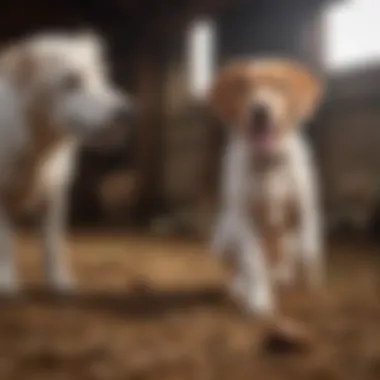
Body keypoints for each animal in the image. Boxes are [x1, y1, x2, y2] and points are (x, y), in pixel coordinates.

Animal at [0, 32, 134, 294]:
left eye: (102, 77)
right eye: (71, 81)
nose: (128, 114)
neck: (39, 148)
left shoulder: (54, 197)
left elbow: (53, 246)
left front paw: (59, 282)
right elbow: (5, 245)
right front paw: (6, 281)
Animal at [208, 58, 324, 314]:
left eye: (279, 86)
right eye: (243, 87)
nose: (260, 110)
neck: (269, 162)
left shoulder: (305, 213)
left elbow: (307, 252)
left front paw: (310, 289)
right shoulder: (244, 219)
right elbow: (253, 261)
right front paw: (258, 299)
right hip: (223, 236)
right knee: (240, 267)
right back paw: (241, 287)